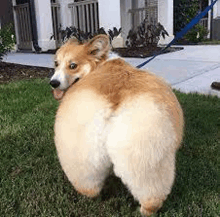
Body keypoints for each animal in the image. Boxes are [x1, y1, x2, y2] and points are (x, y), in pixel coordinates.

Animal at [49, 34, 184, 216]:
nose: (53, 83)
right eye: (56, 63)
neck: (98, 64)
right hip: (147, 156)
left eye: (73, 66)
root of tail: (111, 106)